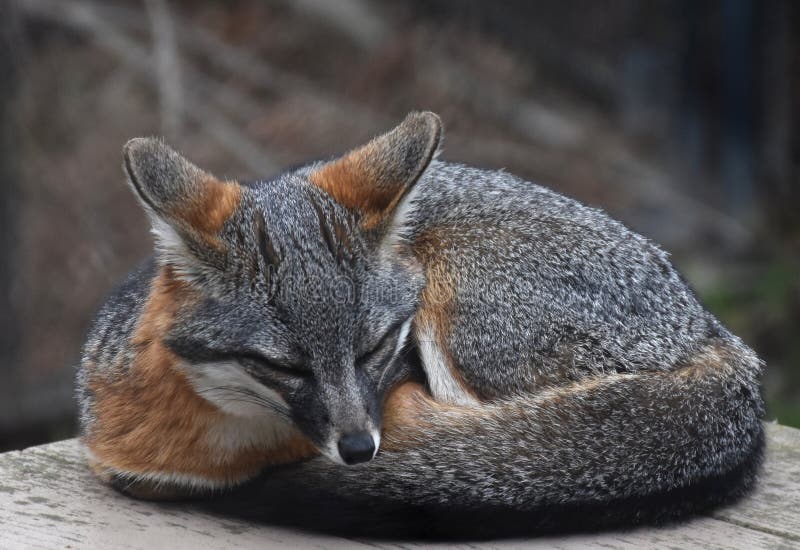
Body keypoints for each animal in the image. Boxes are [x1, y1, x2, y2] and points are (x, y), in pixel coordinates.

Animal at [77, 111, 764, 531]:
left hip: (457, 303)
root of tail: (718, 335)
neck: (232, 446)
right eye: (281, 365)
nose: (360, 449)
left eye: (375, 347)